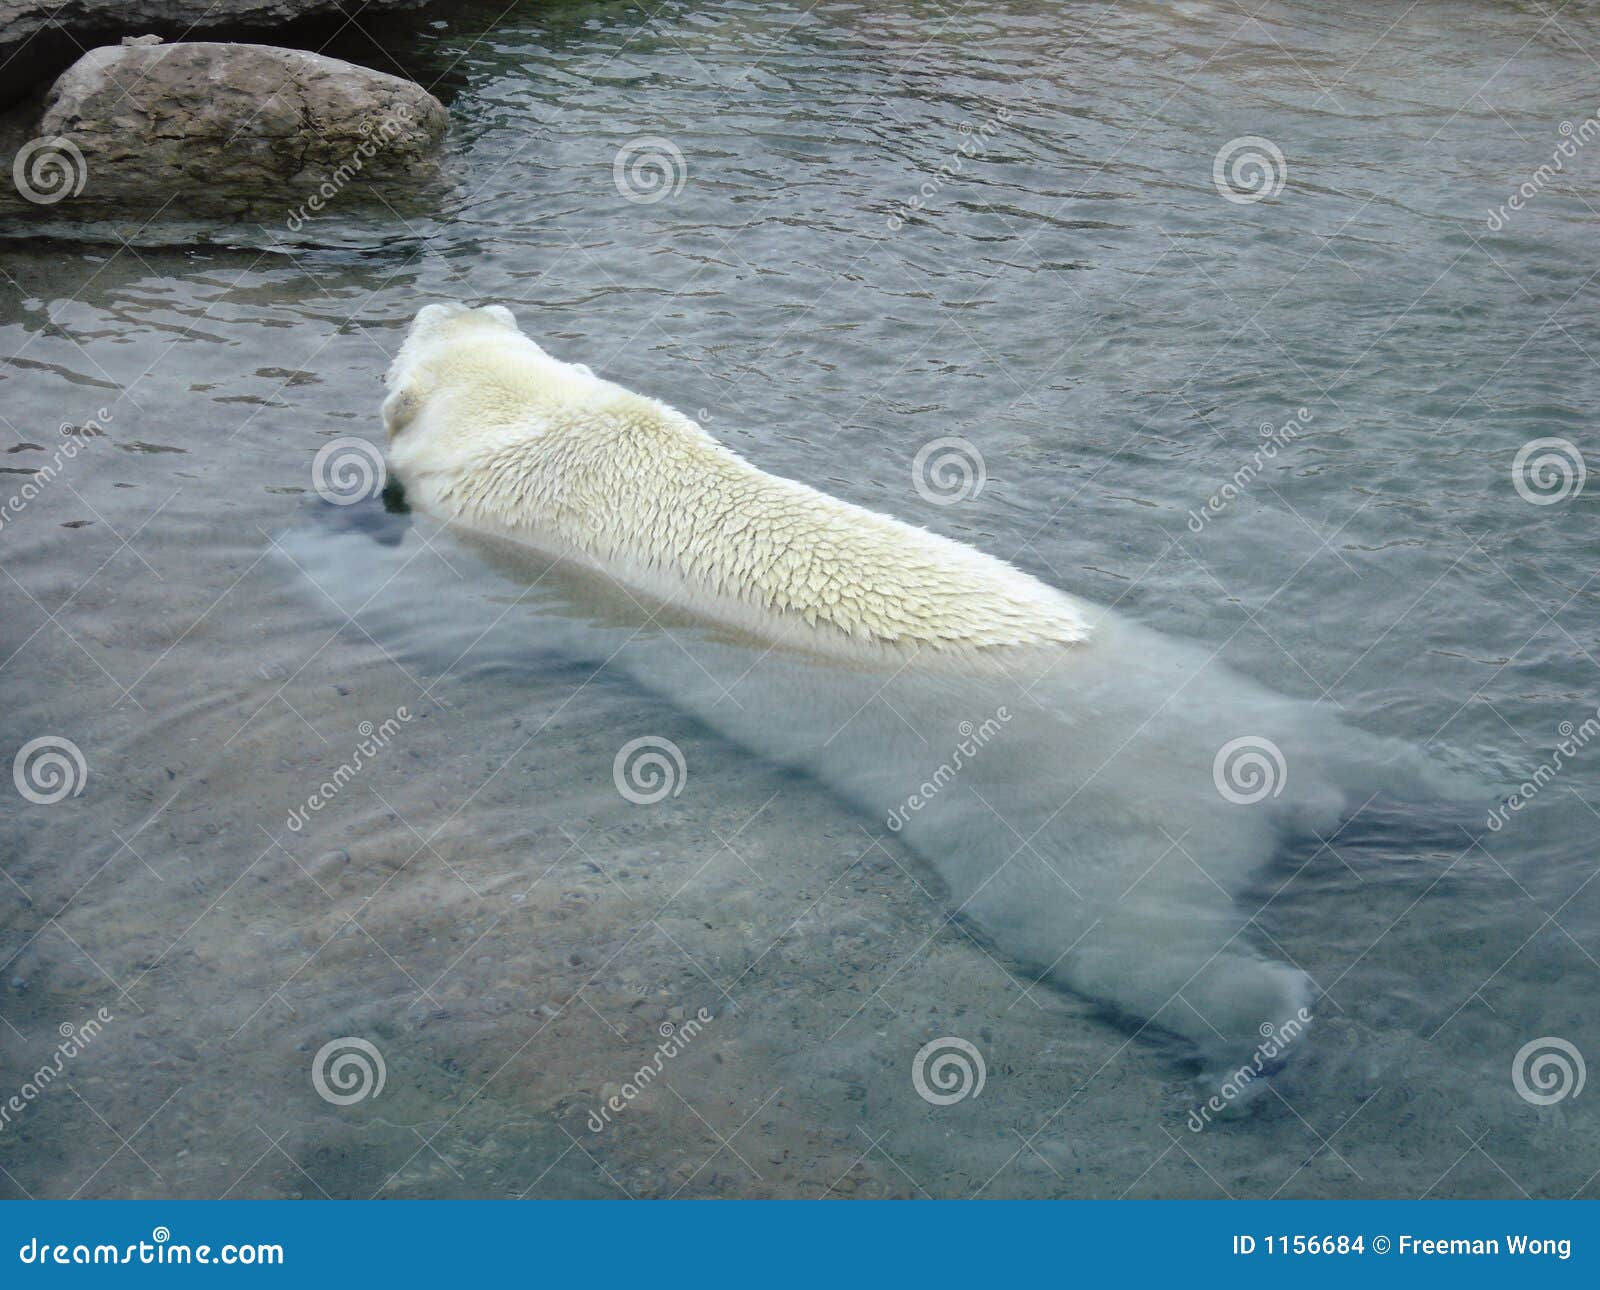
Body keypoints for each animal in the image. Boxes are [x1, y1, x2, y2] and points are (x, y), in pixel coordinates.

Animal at [374, 301, 1448, 1082]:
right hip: (1234, 690)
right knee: (1371, 758)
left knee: (1111, 932)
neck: (550, 423)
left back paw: (1259, 1040)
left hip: (1078, 813)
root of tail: (1271, 771)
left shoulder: (515, 549)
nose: (432, 293)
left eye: (402, 347)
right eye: (463, 310)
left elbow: (435, 617)